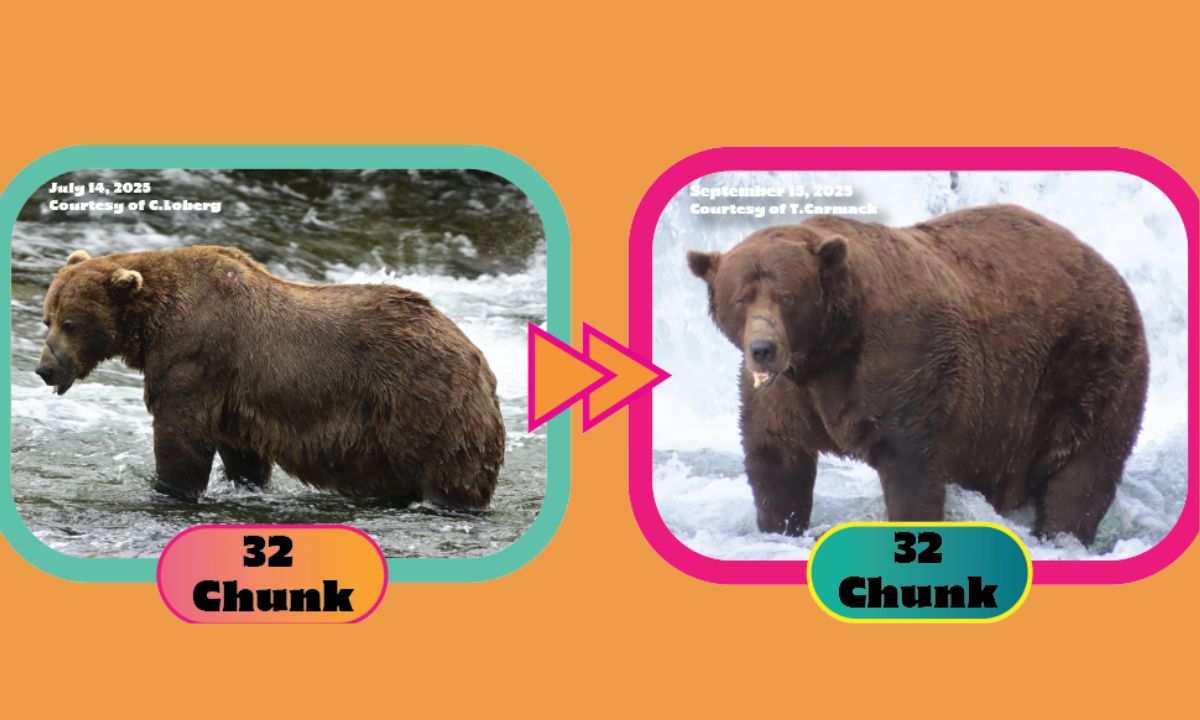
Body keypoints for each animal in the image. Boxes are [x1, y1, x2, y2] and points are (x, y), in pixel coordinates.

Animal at [35, 246, 505, 509]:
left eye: (71, 323)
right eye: (48, 319)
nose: (45, 369)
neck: (151, 322)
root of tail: (477, 356)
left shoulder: (195, 353)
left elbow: (180, 433)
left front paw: (168, 488)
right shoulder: (232, 393)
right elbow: (240, 452)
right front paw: (242, 485)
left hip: (423, 400)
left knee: (449, 470)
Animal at [687, 204, 1149, 545]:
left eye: (787, 296)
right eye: (741, 297)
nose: (763, 348)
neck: (827, 351)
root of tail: (1106, 266)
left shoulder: (903, 363)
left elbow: (910, 467)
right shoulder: (785, 395)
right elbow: (776, 459)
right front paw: (780, 528)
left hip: (1087, 364)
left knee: (1083, 469)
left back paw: (1061, 534)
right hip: (1005, 419)